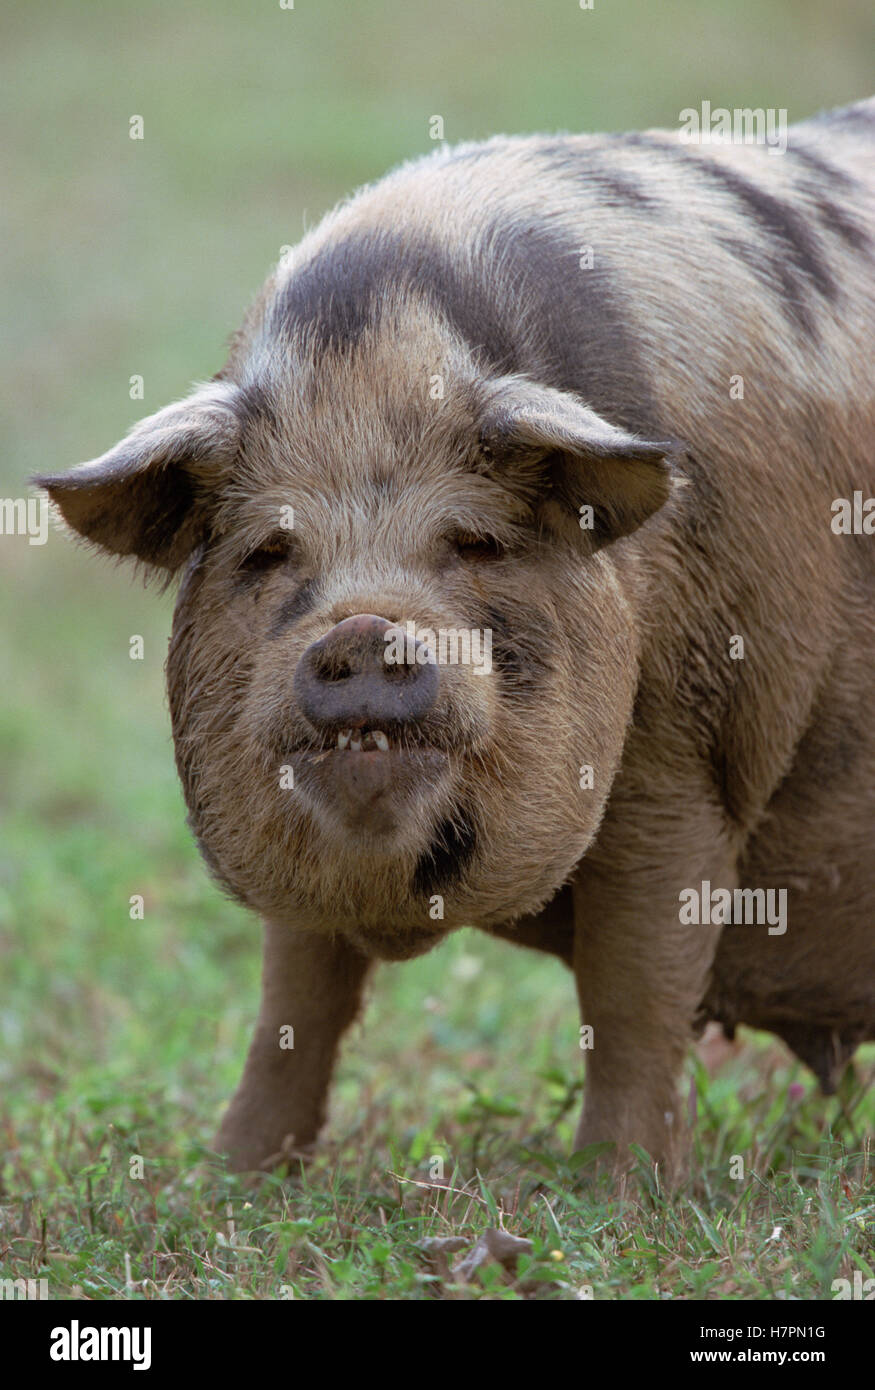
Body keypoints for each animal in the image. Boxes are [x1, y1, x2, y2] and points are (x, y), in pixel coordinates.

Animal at [35, 98, 875, 1174]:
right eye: (268, 551)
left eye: (473, 541)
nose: (361, 626)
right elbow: (295, 999)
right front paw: (231, 1174)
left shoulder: (693, 757)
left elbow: (635, 991)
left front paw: (612, 1190)